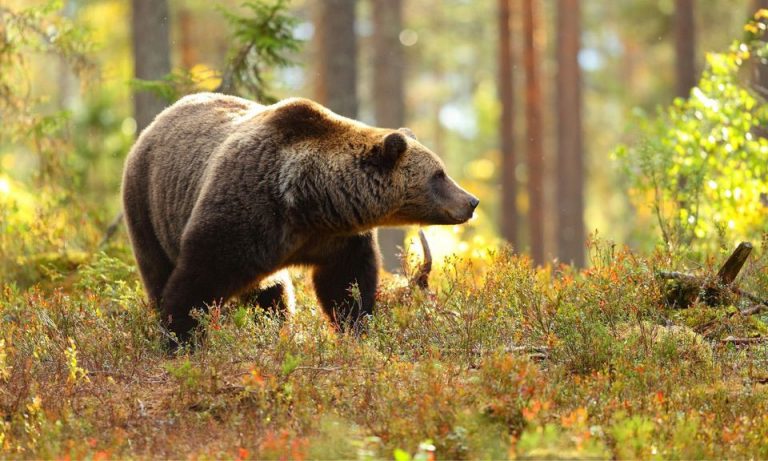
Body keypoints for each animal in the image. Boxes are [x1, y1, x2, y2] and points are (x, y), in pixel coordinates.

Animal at [121, 92, 478, 342]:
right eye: (439, 174)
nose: (471, 201)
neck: (308, 202)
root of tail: (155, 122)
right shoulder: (244, 212)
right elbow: (198, 277)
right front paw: (181, 336)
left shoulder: (336, 239)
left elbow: (345, 285)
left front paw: (356, 327)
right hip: (147, 206)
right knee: (157, 269)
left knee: (271, 294)